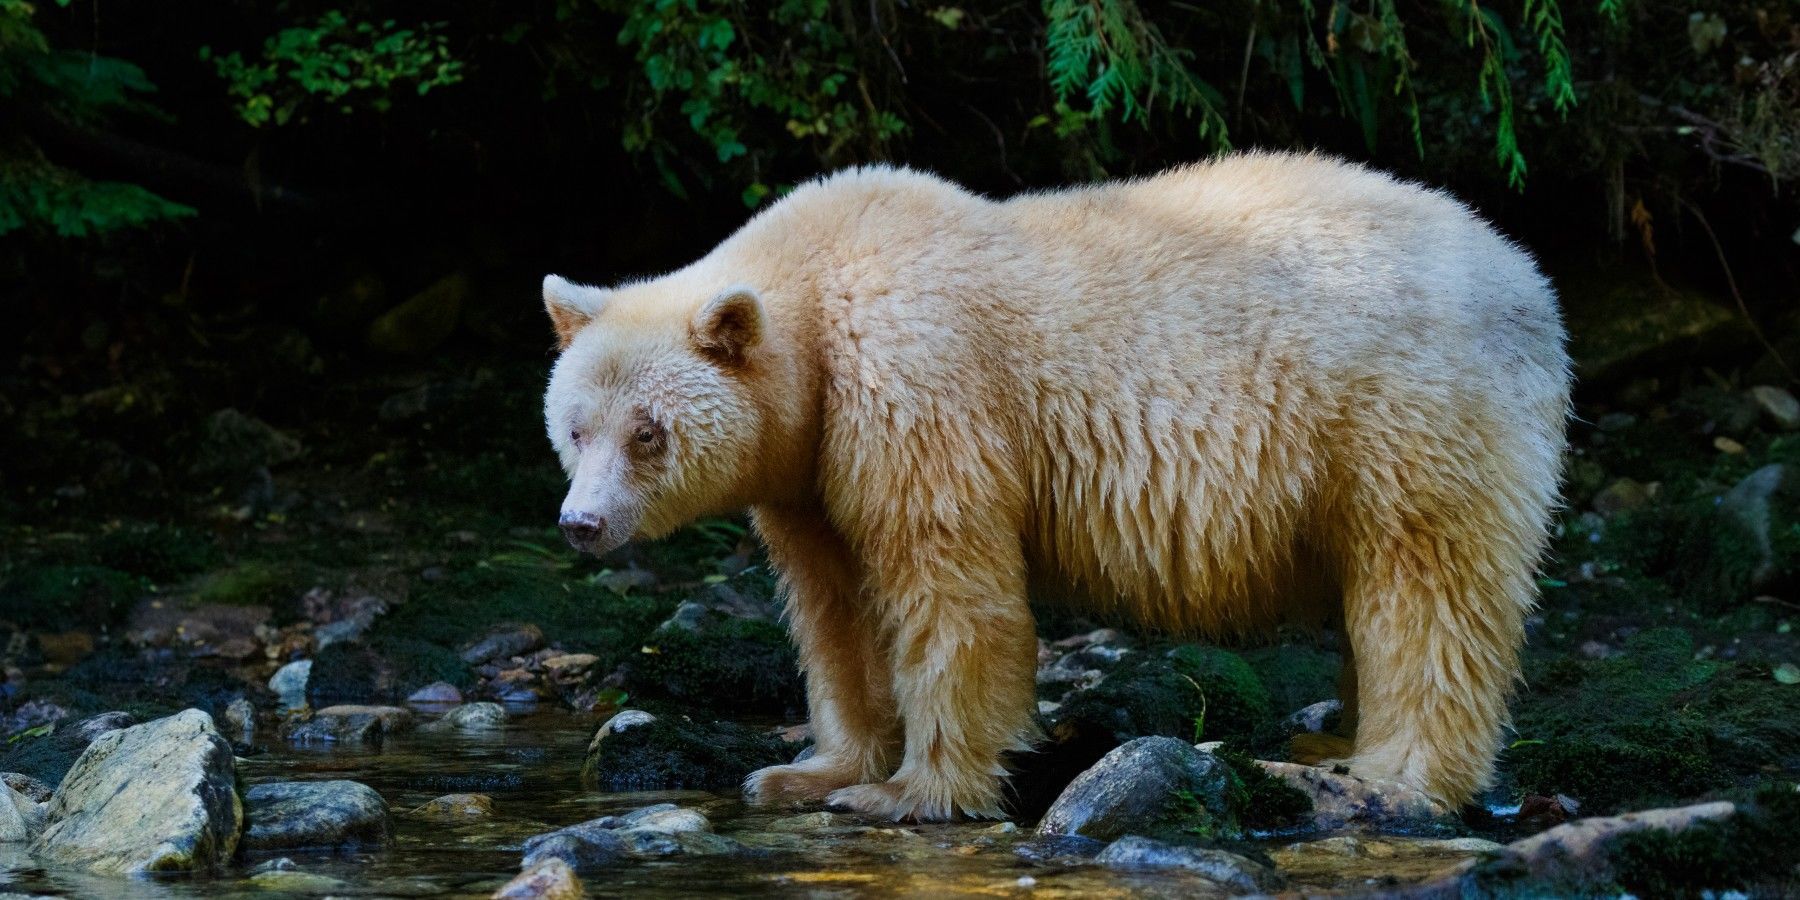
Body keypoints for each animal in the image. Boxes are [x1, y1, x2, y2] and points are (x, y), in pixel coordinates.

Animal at [541, 152, 1571, 822]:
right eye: (574, 427)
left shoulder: (919, 389)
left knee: (1427, 582)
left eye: (648, 434)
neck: (821, 296)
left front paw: (911, 791)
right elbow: (835, 607)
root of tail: (1527, 280)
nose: (581, 524)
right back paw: (1336, 744)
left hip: (1406, 408)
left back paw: (1391, 773)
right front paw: (808, 772)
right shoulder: (808, 471)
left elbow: (948, 584)